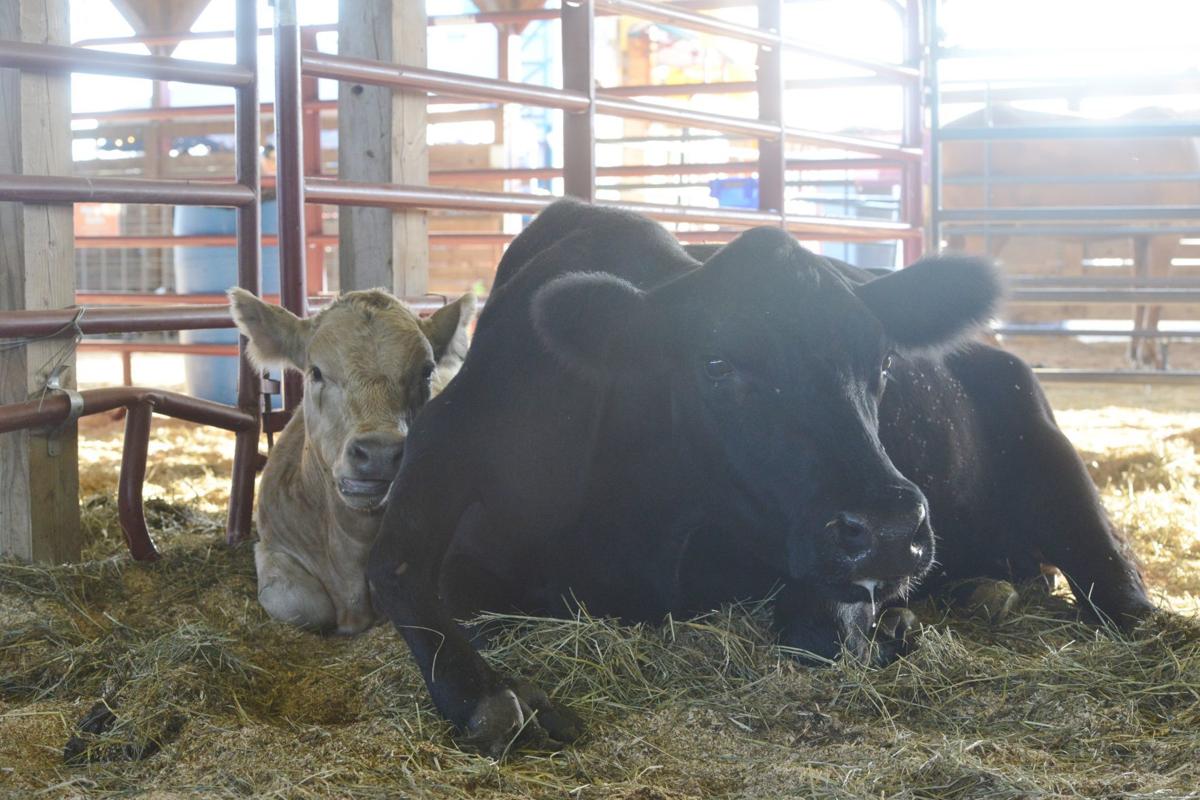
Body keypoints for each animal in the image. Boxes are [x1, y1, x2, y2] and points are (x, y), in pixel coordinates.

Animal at [366, 200, 1154, 754]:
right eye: (718, 365)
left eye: (884, 362)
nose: (891, 528)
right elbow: (396, 570)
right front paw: (491, 697)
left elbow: (828, 630)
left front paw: (887, 623)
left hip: (1049, 452)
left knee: (1116, 585)